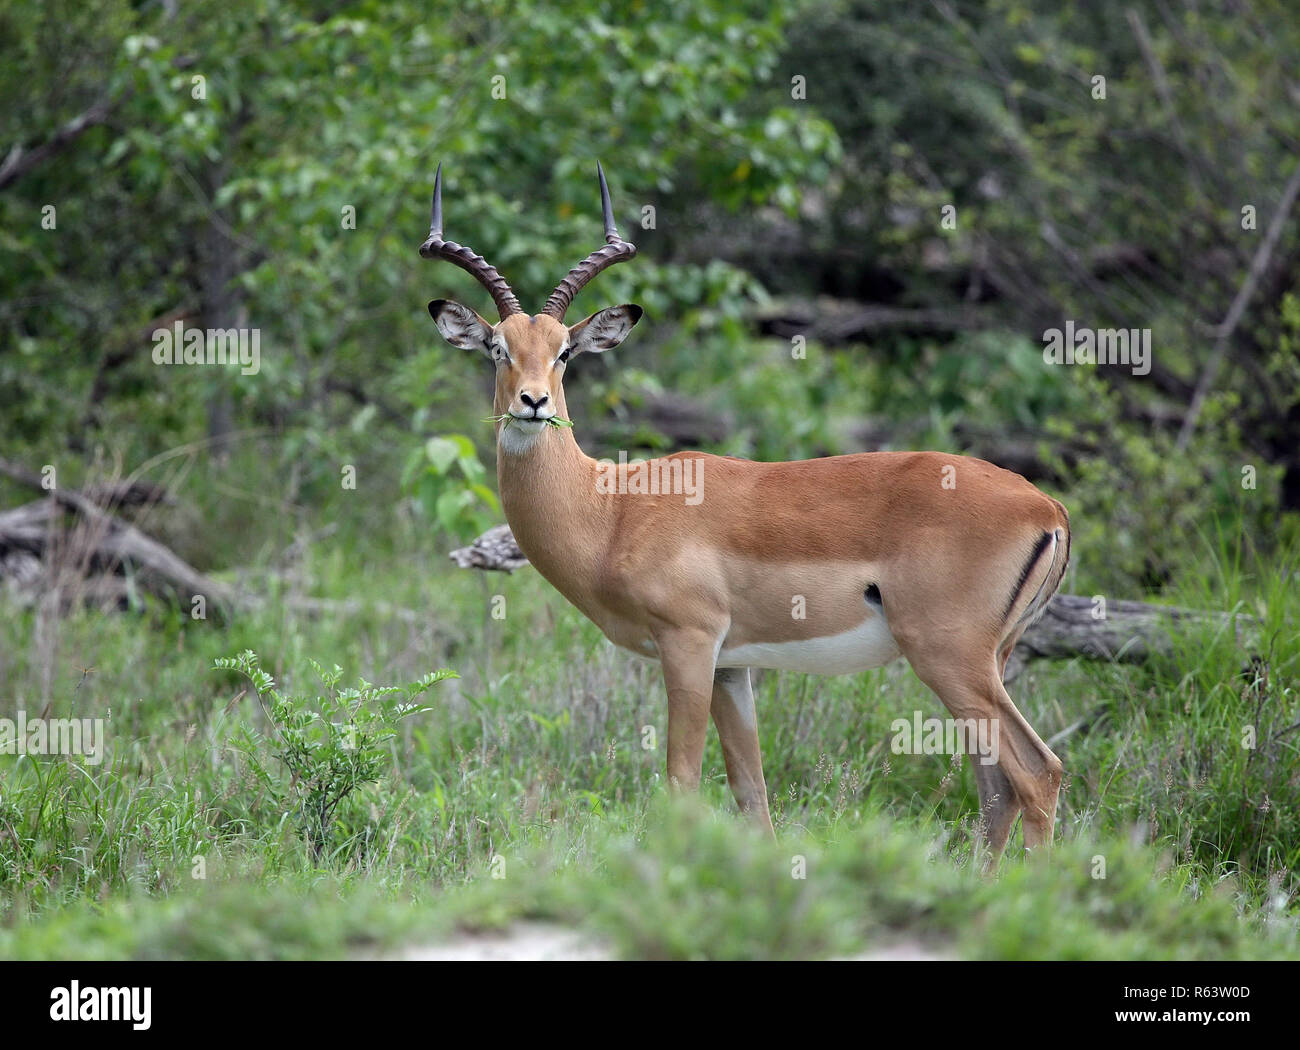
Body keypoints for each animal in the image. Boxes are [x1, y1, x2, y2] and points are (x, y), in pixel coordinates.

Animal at [419, 164, 1071, 860]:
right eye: (496, 347)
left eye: (565, 350)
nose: (534, 402)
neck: (613, 508)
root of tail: (1048, 507)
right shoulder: (734, 666)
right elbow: (751, 790)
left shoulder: (690, 643)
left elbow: (681, 780)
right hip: (987, 663)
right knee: (997, 788)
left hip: (950, 657)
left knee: (1037, 773)